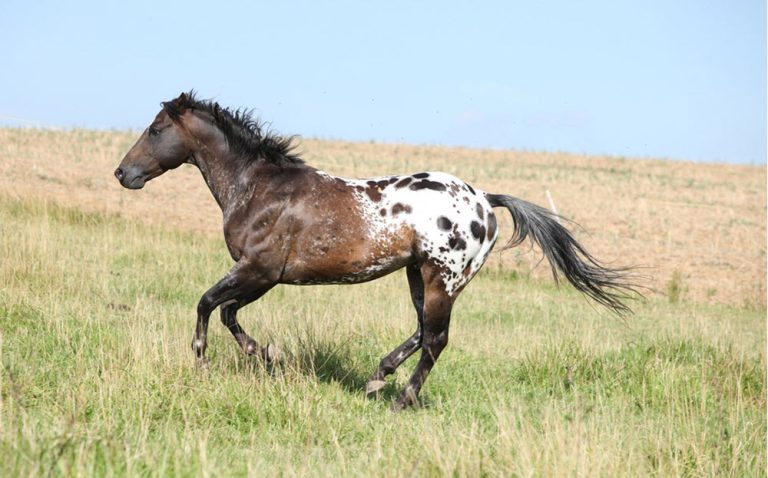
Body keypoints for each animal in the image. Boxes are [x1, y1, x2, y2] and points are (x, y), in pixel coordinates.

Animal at [114, 92, 637, 410]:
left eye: (156, 129)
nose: (123, 173)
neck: (259, 188)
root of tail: (486, 200)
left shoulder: (260, 271)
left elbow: (208, 305)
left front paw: (210, 362)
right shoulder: (259, 276)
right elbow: (226, 312)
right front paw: (267, 357)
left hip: (442, 278)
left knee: (436, 339)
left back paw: (401, 398)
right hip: (416, 273)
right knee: (422, 331)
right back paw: (376, 378)